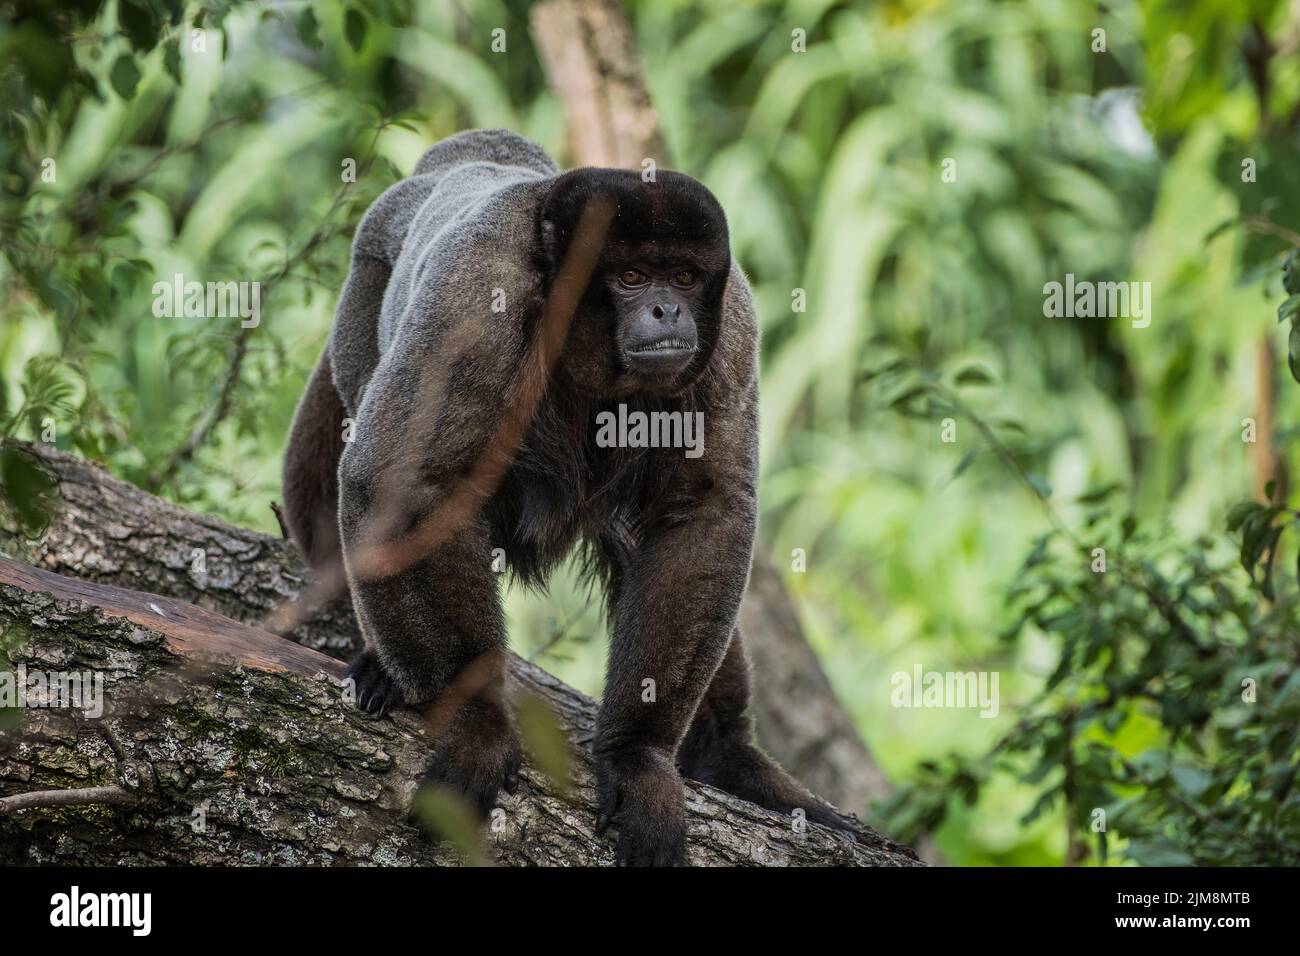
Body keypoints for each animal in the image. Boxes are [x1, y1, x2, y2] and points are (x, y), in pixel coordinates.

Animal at [282, 129, 852, 865]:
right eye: (631, 278)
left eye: (685, 278)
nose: (668, 310)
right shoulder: (476, 289)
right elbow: (402, 482)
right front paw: (476, 720)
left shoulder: (731, 326)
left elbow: (702, 512)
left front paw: (639, 756)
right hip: (364, 283)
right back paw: (389, 669)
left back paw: (727, 755)